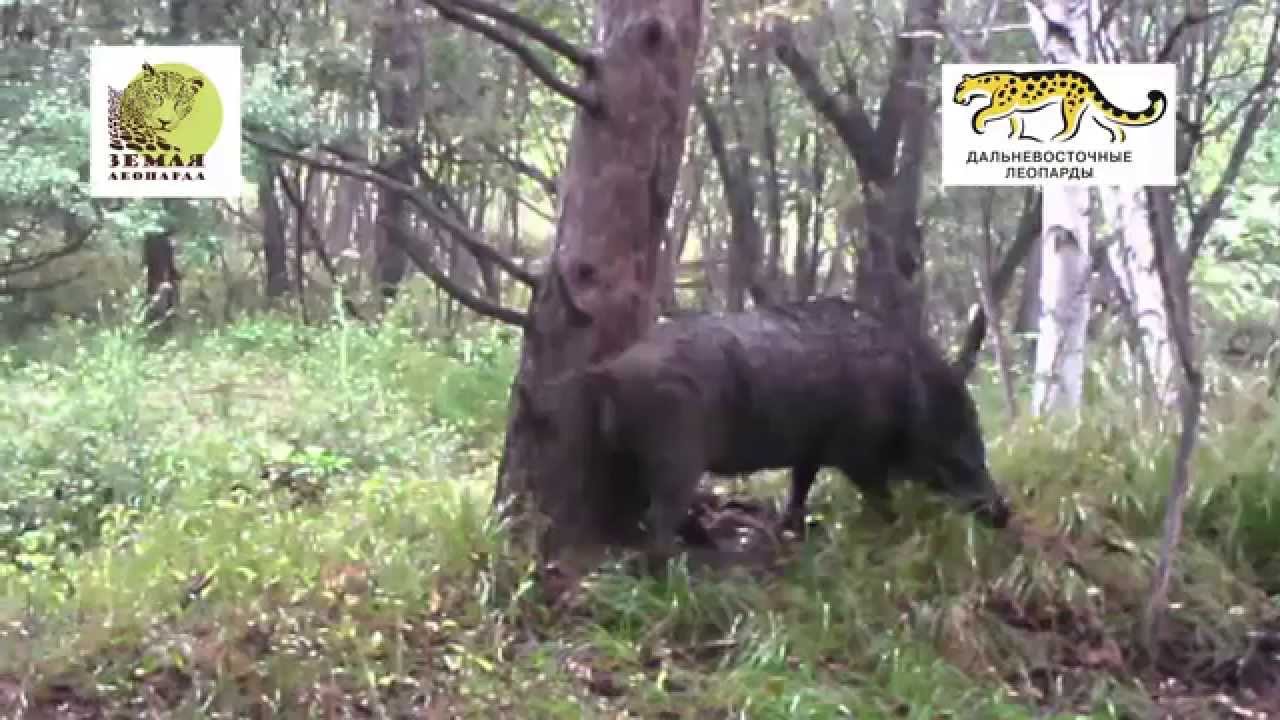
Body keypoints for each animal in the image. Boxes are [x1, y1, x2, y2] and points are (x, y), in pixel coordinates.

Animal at [580, 297, 1011, 561]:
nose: (1003, 512)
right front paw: (893, 531)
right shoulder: (857, 451)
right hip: (678, 450)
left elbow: (800, 483)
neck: (903, 388)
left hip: (634, 454)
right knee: (660, 514)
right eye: (957, 427)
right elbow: (879, 496)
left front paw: (791, 530)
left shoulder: (812, 447)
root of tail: (611, 370)